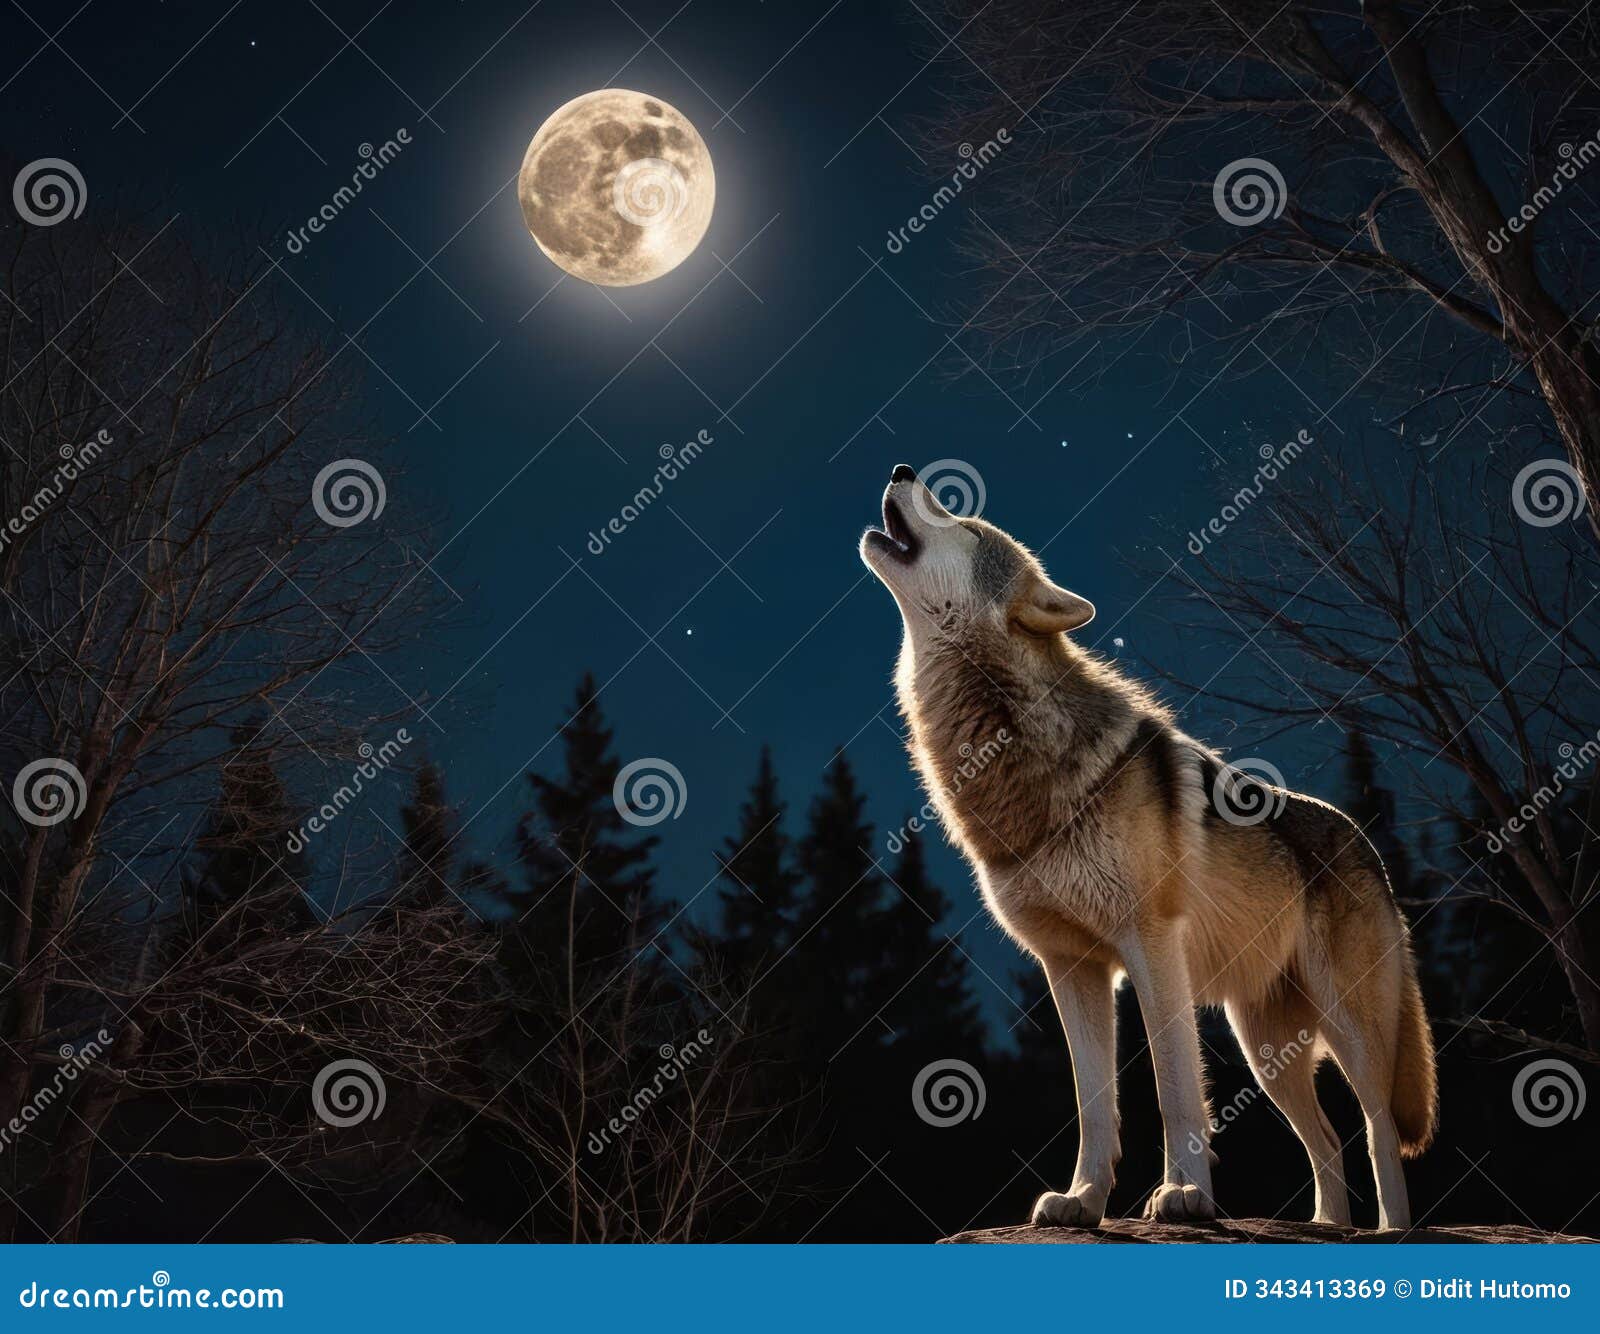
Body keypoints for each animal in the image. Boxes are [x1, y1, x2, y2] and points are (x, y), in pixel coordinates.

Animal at [860, 464, 1437, 1230]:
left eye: (965, 524)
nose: (902, 470)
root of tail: (1368, 845)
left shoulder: (1151, 946)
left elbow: (1173, 1090)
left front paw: (1185, 1196)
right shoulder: (1071, 968)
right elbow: (1095, 1106)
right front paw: (1082, 1201)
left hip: (1350, 1028)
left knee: (1377, 1131)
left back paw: (1388, 1230)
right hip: (1266, 1048)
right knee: (1326, 1137)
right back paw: (1327, 1227)